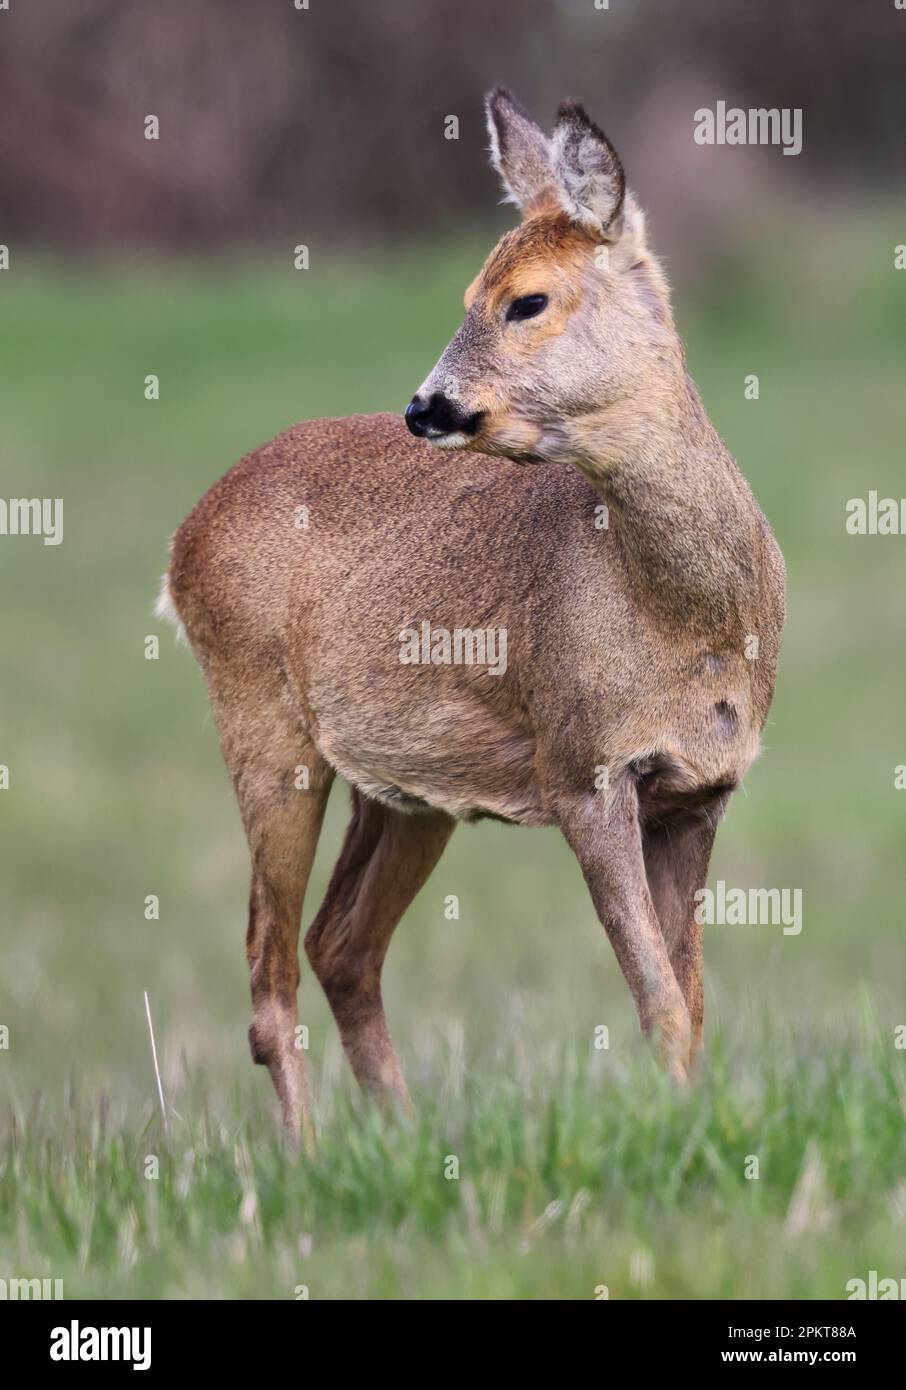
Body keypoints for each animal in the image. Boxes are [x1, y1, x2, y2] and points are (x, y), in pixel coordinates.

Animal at [158, 88, 784, 1142]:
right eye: (465, 294)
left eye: (525, 299)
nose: (426, 407)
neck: (685, 620)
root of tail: (182, 538)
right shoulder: (582, 769)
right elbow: (656, 994)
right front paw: (674, 1129)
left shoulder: (702, 788)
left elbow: (691, 997)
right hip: (262, 723)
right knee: (267, 974)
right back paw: (308, 1159)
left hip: (405, 786)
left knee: (339, 943)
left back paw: (398, 1138)